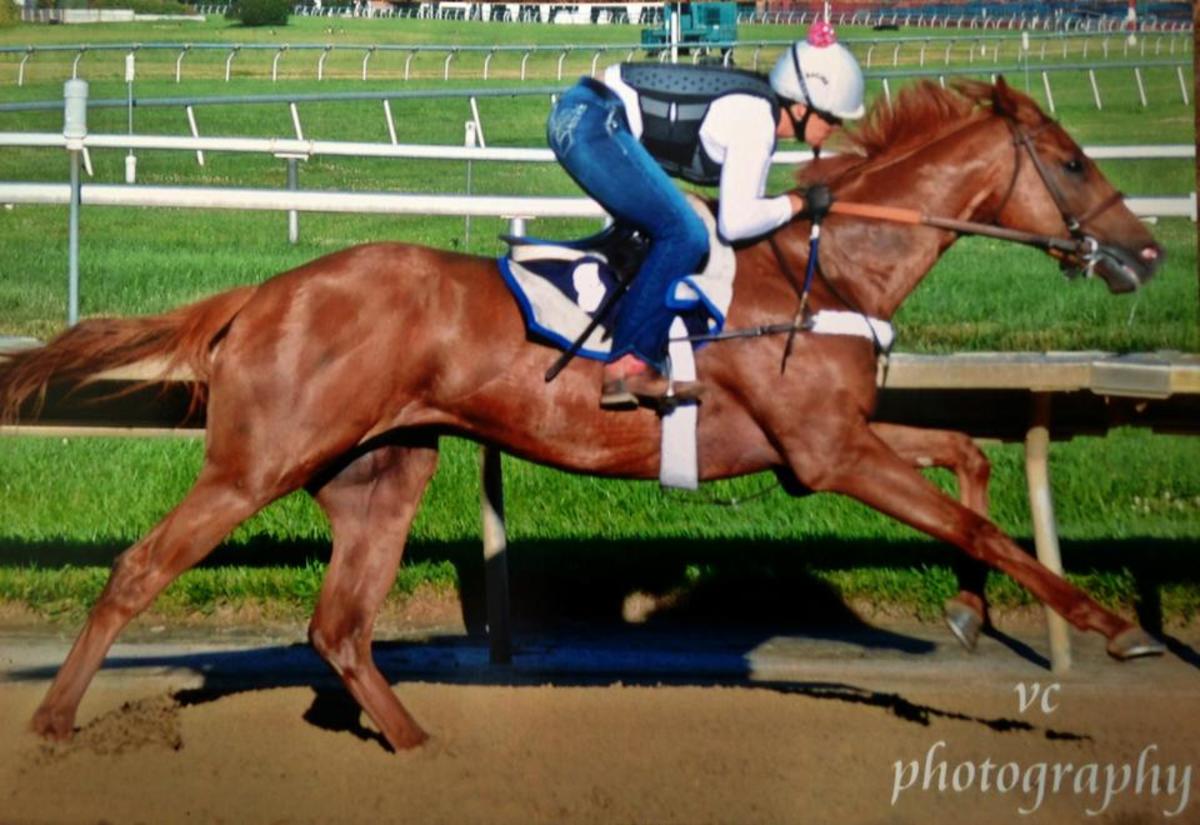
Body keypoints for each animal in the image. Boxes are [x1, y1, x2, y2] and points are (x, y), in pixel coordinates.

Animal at [0, 78, 1165, 751]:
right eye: (1070, 162)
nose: (1147, 250)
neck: (825, 265)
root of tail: (261, 293)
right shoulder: (831, 452)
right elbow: (978, 520)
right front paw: (1113, 628)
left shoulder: (825, 446)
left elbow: (972, 455)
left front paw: (969, 610)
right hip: (257, 464)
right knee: (143, 570)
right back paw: (55, 723)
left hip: (386, 469)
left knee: (340, 624)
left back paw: (417, 743)